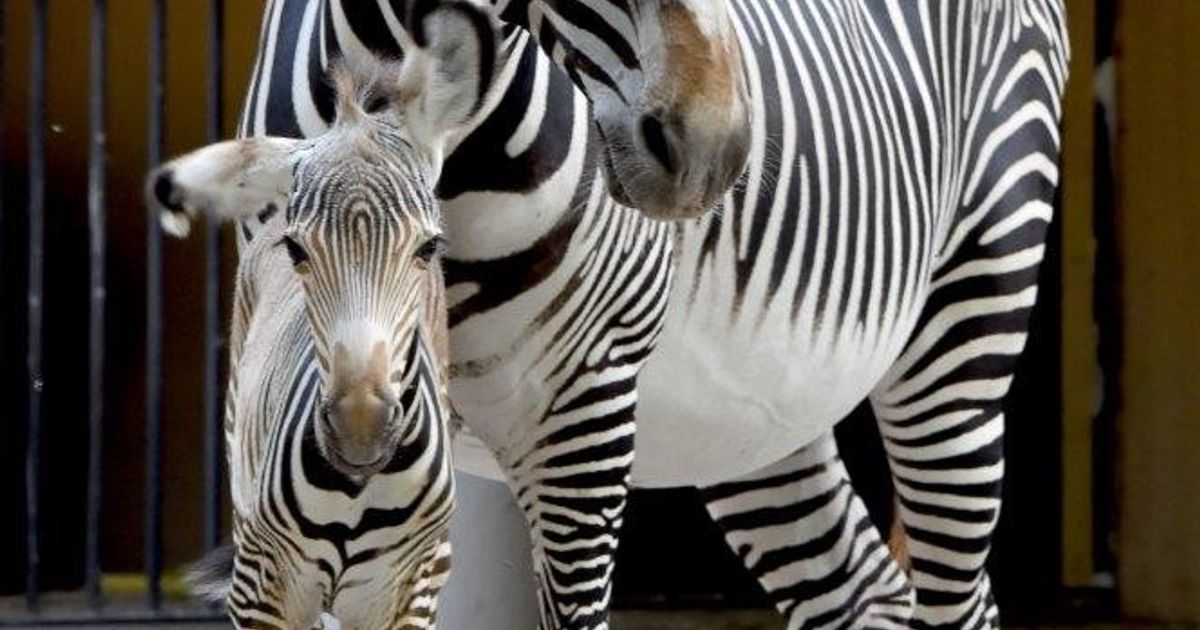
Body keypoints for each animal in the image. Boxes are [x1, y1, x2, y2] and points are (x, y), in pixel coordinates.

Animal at [147, 7, 499, 627]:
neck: (357, 493)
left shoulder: (407, 593)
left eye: (428, 248)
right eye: (296, 250)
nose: (360, 428)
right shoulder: (261, 587)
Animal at [233, 0, 1070, 628]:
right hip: (749, 419)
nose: (718, 148)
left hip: (967, 324)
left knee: (958, 597)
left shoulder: (583, 406)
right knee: (865, 594)